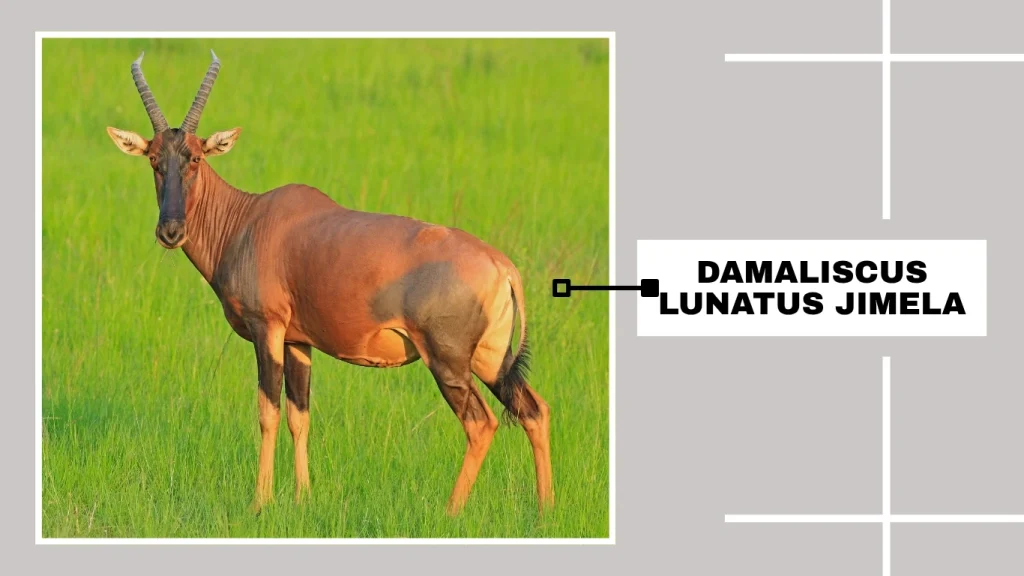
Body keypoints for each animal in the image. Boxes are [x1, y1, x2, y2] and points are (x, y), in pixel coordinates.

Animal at [105, 51, 553, 516]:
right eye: (154, 159)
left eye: (195, 157)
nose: (170, 231)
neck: (250, 218)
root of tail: (501, 265)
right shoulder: (298, 341)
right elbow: (299, 415)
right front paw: (302, 497)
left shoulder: (267, 330)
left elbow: (267, 411)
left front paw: (260, 502)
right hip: (491, 359)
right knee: (534, 410)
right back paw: (545, 510)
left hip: (448, 362)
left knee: (481, 423)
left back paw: (450, 512)